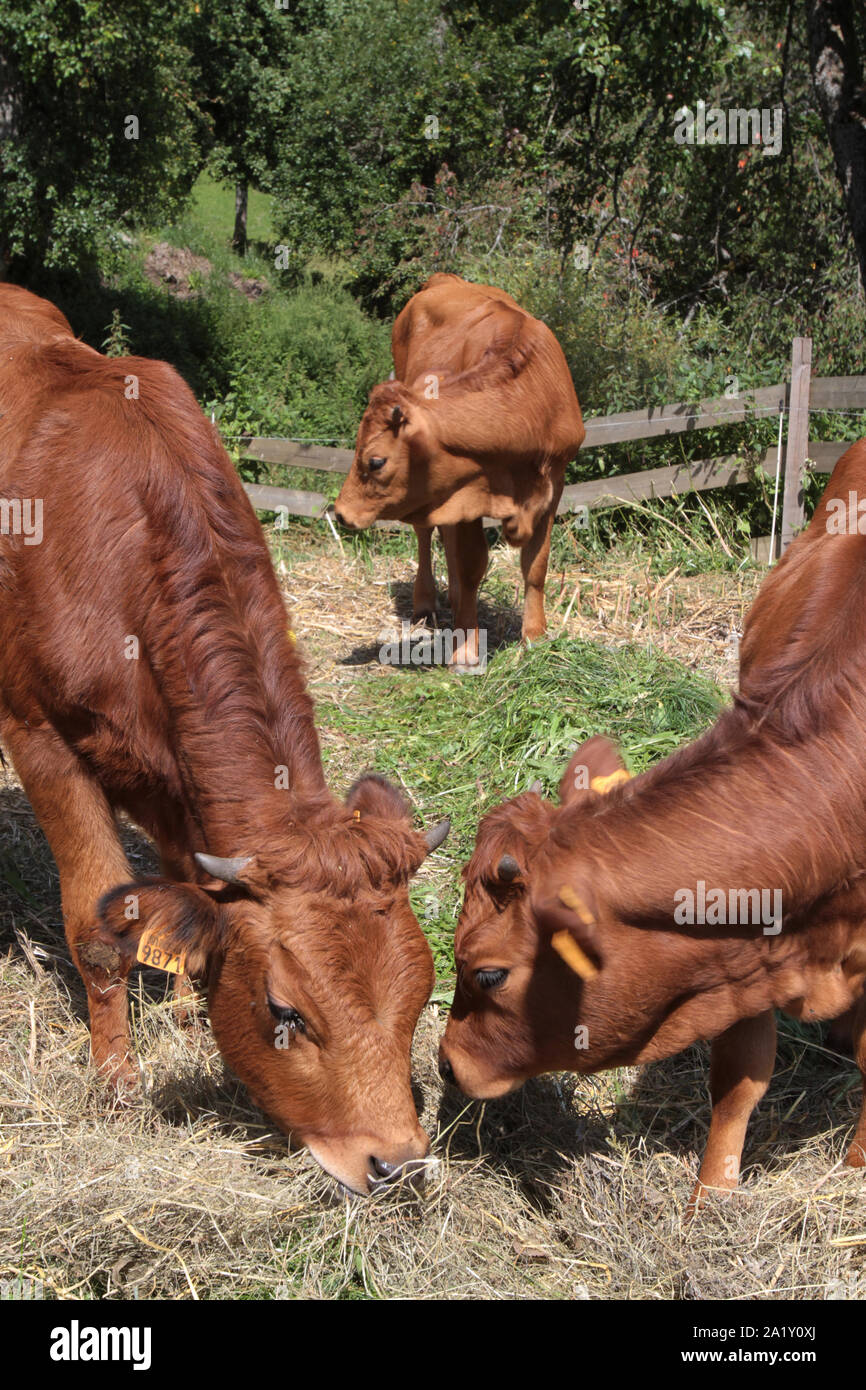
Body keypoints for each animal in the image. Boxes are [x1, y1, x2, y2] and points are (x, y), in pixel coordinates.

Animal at [0, 284, 450, 1196]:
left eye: (422, 995)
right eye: (286, 1012)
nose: (395, 1163)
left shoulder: (173, 769)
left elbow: (182, 890)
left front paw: (181, 1009)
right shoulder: (41, 737)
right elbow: (99, 926)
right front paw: (116, 1082)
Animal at [334, 274, 585, 666]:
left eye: (375, 460)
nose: (341, 512)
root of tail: (444, 279)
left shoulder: (553, 483)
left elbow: (536, 563)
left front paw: (535, 636)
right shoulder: (468, 493)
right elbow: (470, 564)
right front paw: (467, 649)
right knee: (426, 536)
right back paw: (427, 602)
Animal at [439, 438, 866, 1213]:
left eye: (488, 972)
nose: (445, 1065)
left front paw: (854, 1171)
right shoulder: (745, 945)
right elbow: (739, 1075)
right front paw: (712, 1199)